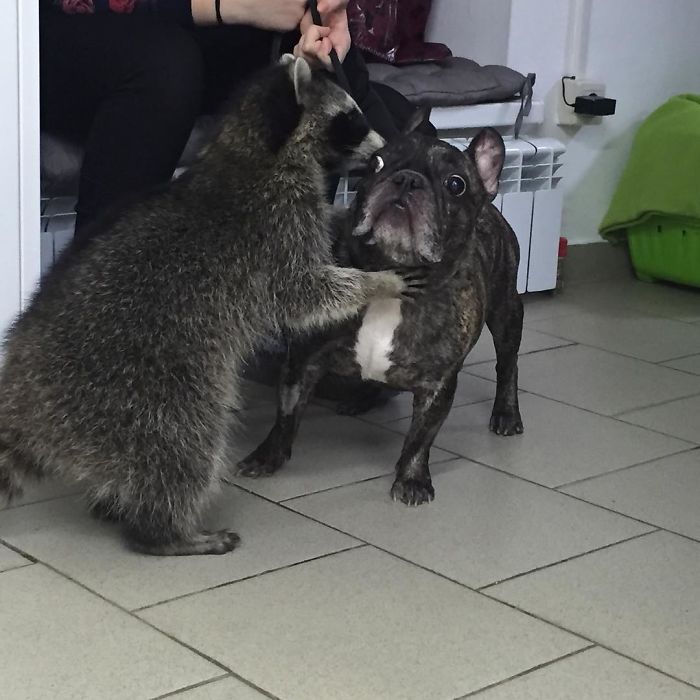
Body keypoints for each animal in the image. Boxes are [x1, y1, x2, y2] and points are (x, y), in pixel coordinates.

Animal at [0, 56, 421, 556]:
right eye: (352, 118)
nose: (381, 149)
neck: (249, 144)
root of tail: (27, 396)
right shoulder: (277, 225)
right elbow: (302, 293)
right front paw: (375, 283)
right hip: (145, 393)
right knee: (185, 443)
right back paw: (166, 532)